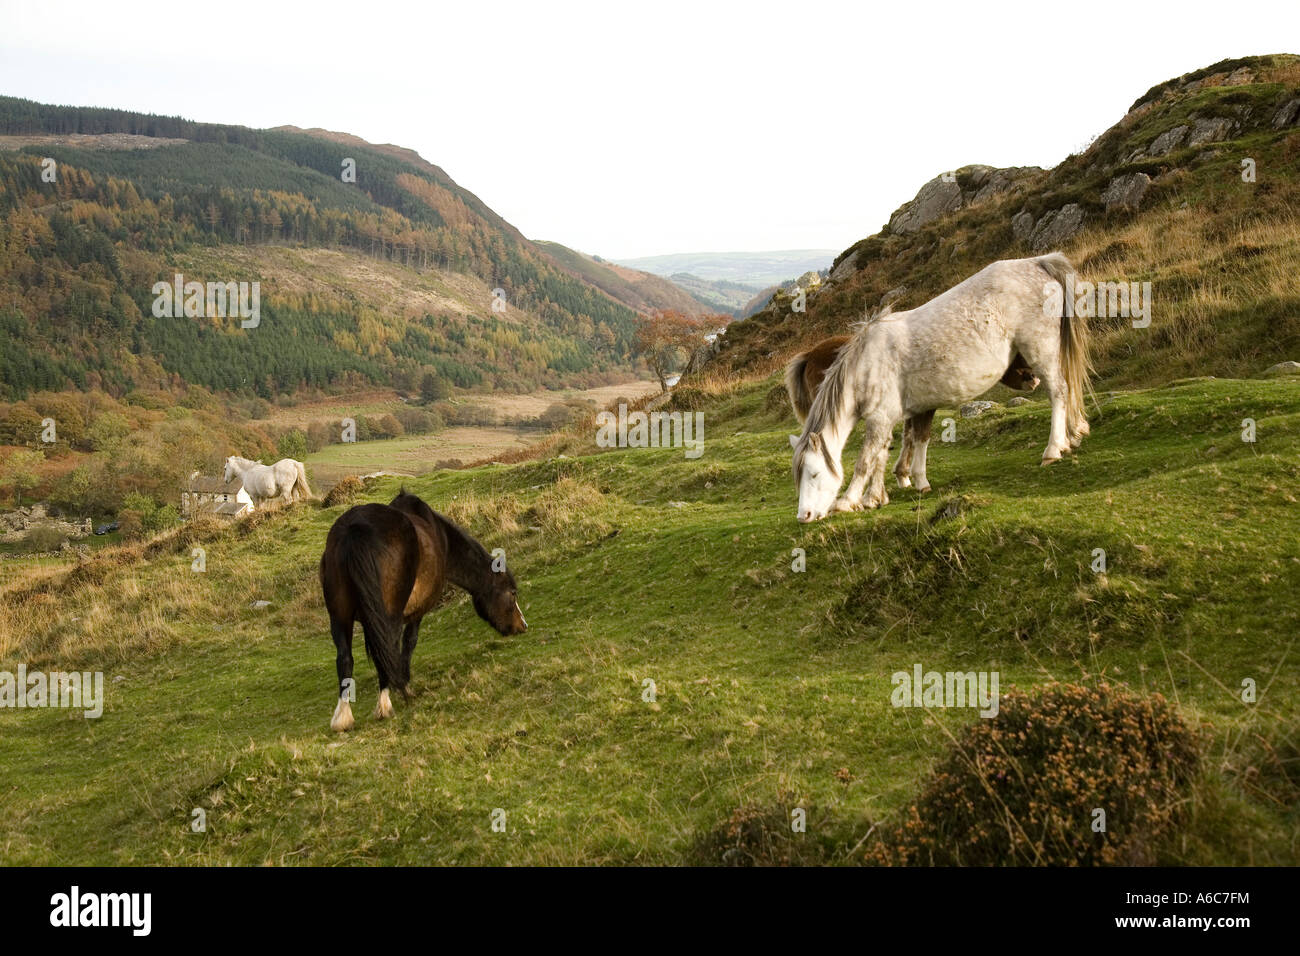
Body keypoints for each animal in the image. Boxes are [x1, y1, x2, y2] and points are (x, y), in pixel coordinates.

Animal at [319, 489, 527, 731]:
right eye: (512, 593)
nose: (522, 625)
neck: (441, 539)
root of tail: (356, 528)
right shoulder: (417, 612)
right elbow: (409, 643)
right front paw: (406, 685)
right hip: (387, 616)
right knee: (385, 649)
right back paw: (385, 704)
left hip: (339, 616)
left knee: (345, 658)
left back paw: (342, 717)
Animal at [785, 335, 1040, 492]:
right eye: (1016, 353)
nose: (1034, 378)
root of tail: (810, 354)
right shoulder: (924, 409)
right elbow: (921, 437)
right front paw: (920, 481)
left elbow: (909, 437)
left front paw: (903, 476)